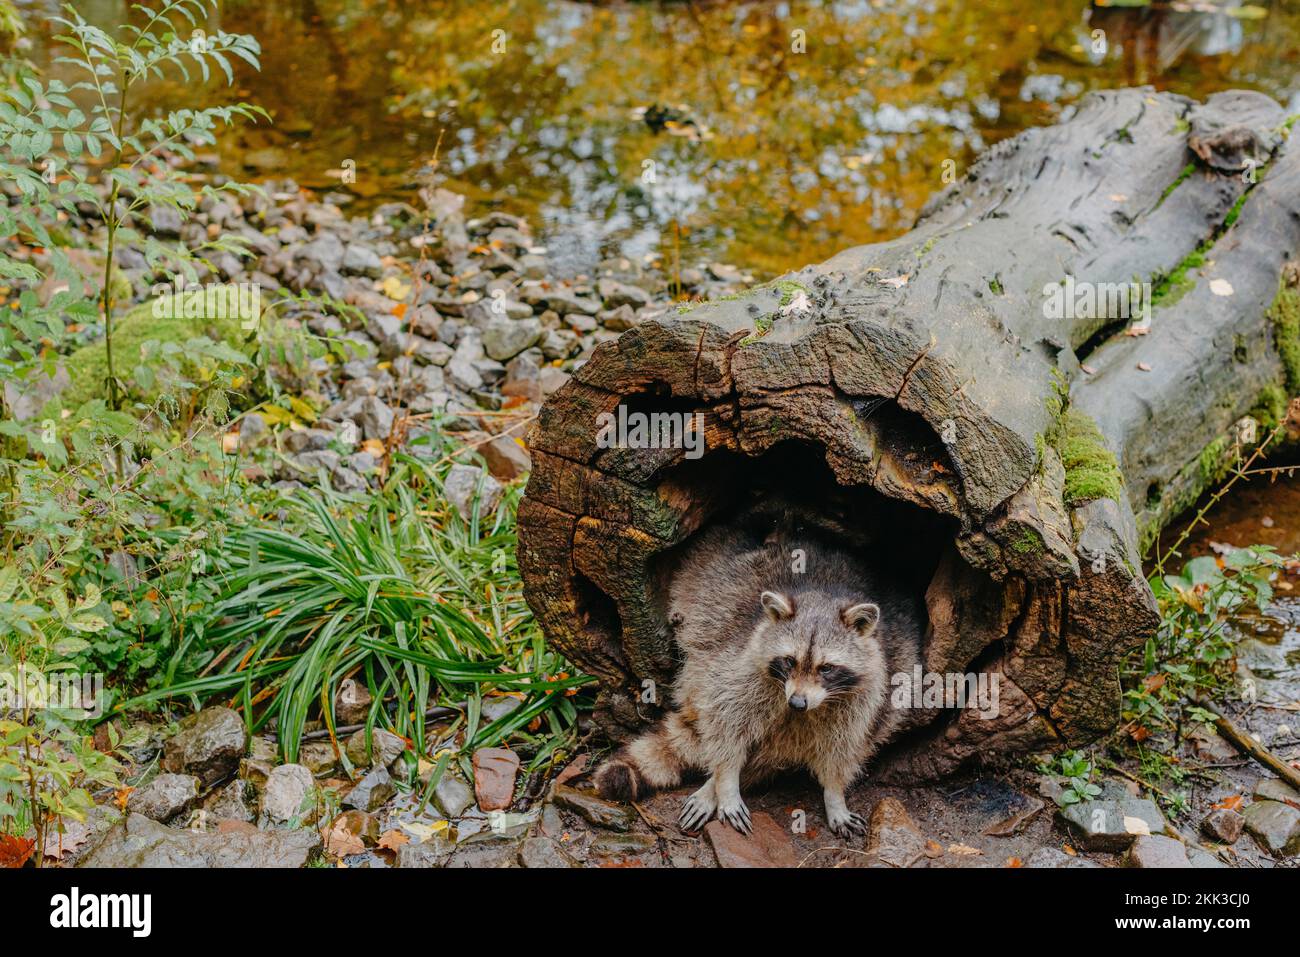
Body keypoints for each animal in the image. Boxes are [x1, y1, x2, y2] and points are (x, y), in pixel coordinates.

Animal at [595, 523, 923, 838]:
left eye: (827, 668)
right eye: (789, 661)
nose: (797, 702)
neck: (822, 595)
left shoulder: (865, 695)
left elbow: (842, 748)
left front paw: (834, 794)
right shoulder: (739, 666)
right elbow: (726, 722)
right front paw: (725, 782)